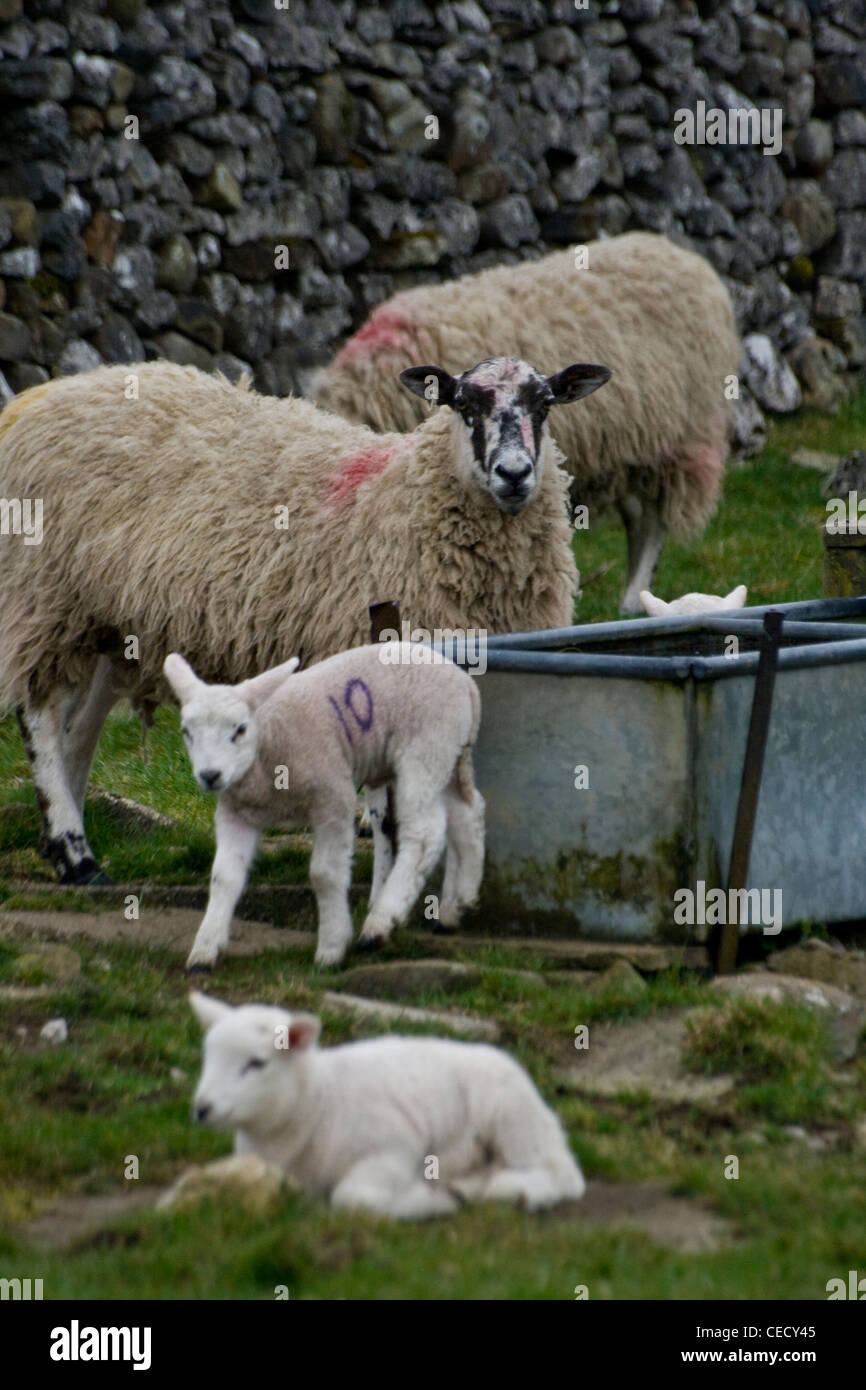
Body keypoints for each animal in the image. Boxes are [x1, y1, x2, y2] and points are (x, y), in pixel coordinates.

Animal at [0, 355, 610, 886]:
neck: (404, 497)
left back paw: (68, 840)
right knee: (41, 717)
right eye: (463, 404)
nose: (514, 474)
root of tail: (39, 396)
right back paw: (75, 856)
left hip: (109, 620)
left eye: (545, 404)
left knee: (79, 733)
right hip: (45, 596)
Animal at [163, 642, 485, 968]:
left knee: (424, 835)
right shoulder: (235, 815)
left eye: (240, 729)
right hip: (449, 754)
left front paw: (332, 947)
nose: (210, 776)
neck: (269, 743)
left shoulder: (334, 799)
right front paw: (205, 950)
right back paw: (457, 905)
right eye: (186, 732)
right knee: (467, 815)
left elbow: (324, 874)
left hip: (425, 747)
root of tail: (464, 682)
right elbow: (223, 878)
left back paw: (380, 923)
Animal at [190, 991, 586, 1218]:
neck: (316, 1104)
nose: (201, 1109)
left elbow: (352, 1199)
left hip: (511, 1116)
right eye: (207, 1056)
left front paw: (425, 1203)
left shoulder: (394, 1151)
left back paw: (517, 1192)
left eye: (256, 1063)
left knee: (562, 1173)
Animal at [313, 231, 740, 615]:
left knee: (651, 520)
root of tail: (678, 252)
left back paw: (633, 599)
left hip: (675, 435)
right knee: (637, 515)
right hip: (629, 446)